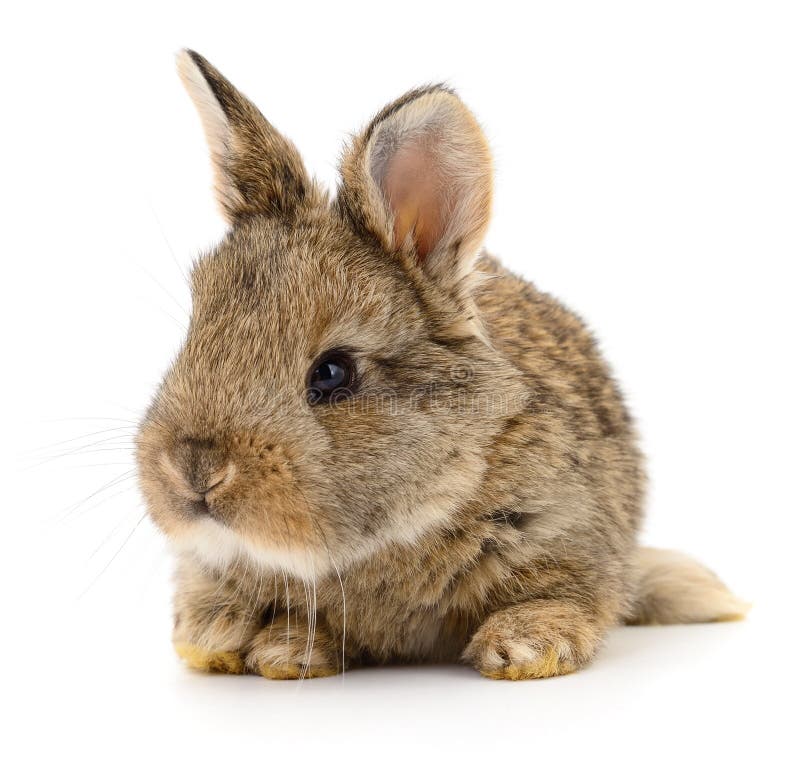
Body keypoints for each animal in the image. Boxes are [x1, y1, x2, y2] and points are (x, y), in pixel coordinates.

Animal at [136, 49, 748, 680]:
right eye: (194, 333)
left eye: (332, 373)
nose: (195, 470)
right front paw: (255, 643)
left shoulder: (571, 535)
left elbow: (569, 597)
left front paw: (525, 647)